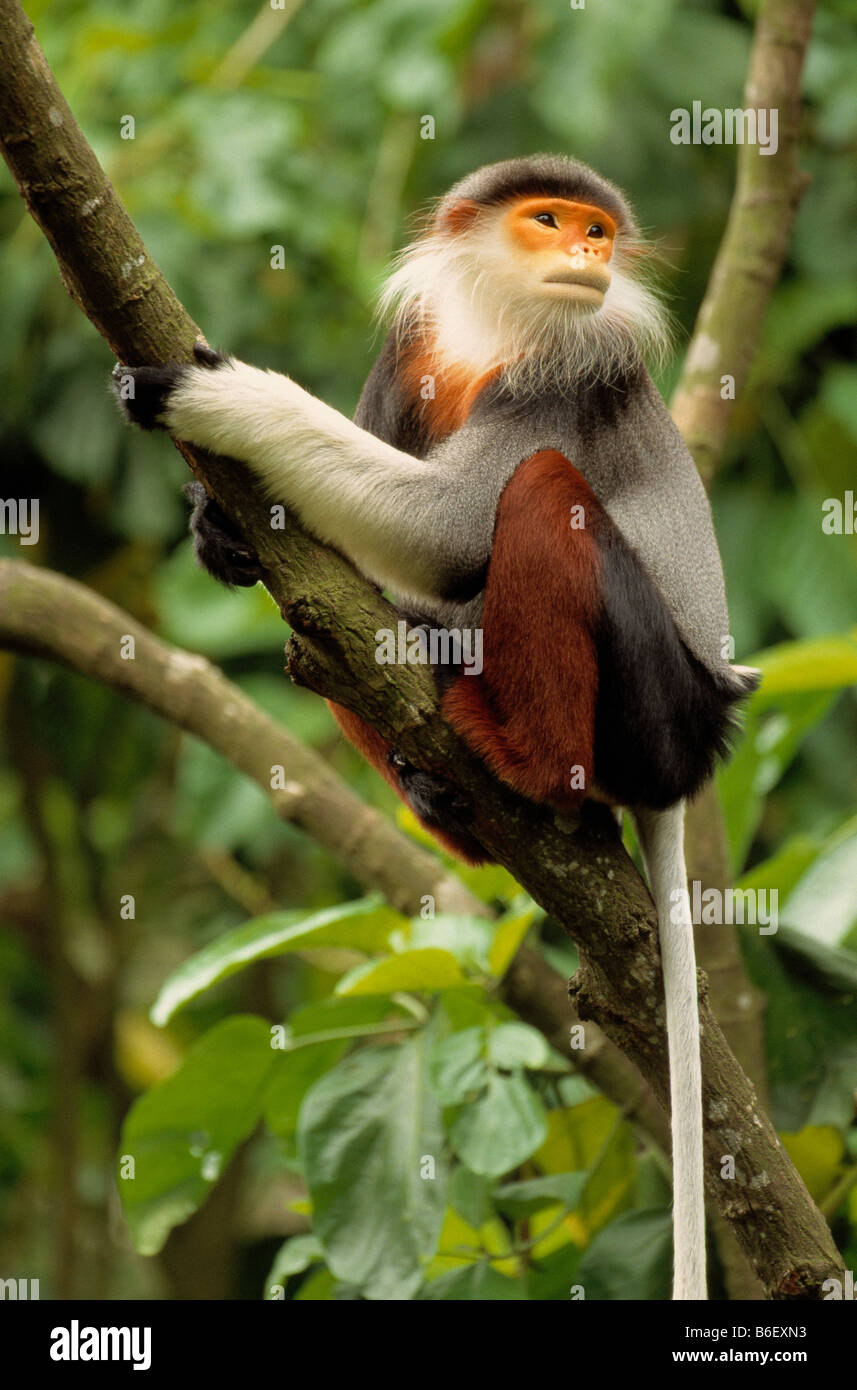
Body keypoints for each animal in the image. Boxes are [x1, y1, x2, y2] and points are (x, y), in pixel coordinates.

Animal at [112, 154, 759, 1301]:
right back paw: (445, 791)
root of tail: (696, 754)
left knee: (539, 491)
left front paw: (218, 396)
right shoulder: (410, 350)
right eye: (548, 221)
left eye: (596, 230)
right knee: (325, 618)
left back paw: (523, 761)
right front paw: (218, 526)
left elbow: (446, 530)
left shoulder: (571, 370)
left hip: (658, 714)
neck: (494, 328)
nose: (585, 253)